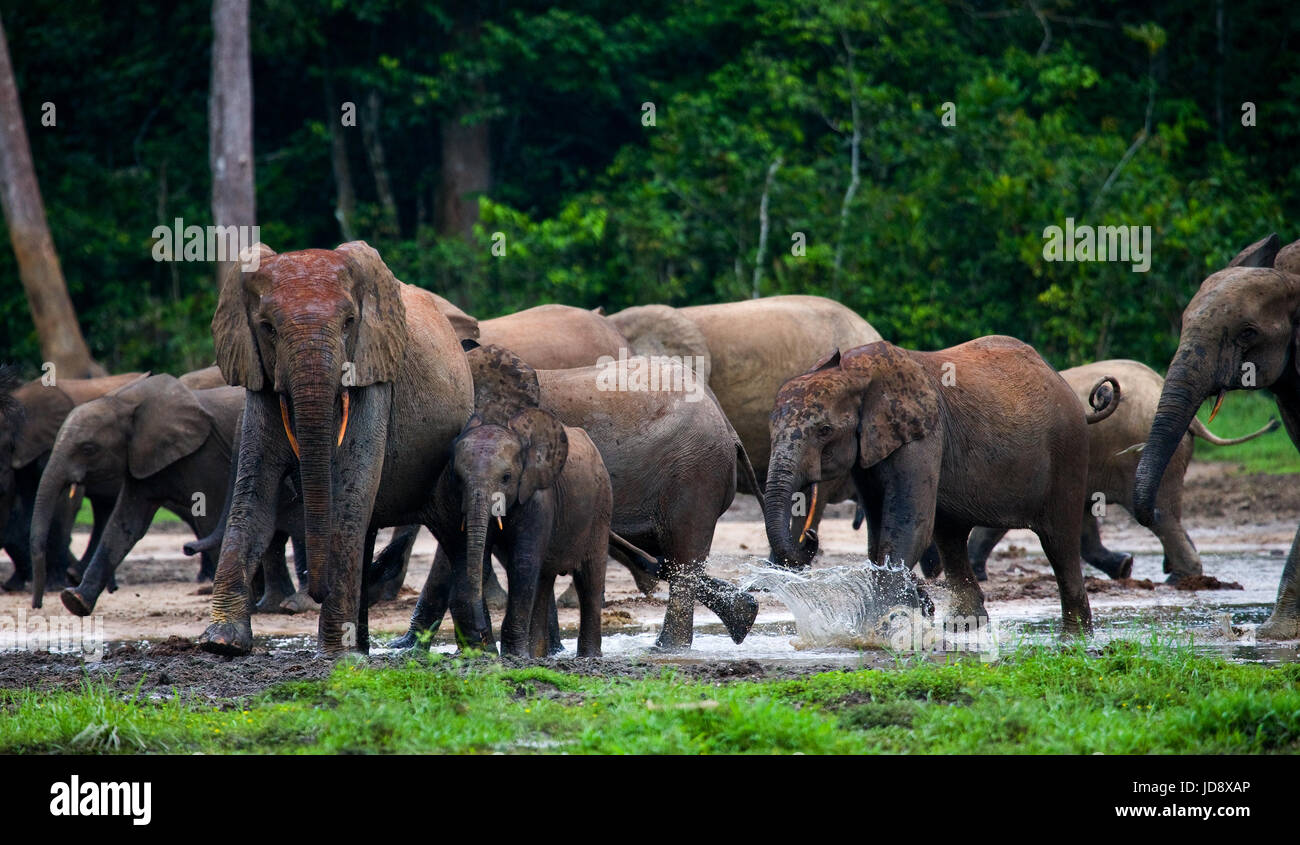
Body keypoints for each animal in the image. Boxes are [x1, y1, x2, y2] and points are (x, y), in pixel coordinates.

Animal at [199, 241, 474, 656]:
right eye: (268, 328)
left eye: (348, 323)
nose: (315, 589)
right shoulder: (260, 386)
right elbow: (253, 495)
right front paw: (221, 643)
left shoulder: (372, 376)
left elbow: (349, 491)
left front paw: (332, 652)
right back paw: (359, 646)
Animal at [428, 406, 611, 656]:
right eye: (457, 478)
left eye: (506, 478)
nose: (483, 631)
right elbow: (471, 557)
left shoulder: (538, 498)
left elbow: (522, 562)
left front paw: (514, 655)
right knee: (543, 581)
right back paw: (537, 655)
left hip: (601, 509)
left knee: (589, 577)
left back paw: (588, 657)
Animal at [764, 337, 1120, 635]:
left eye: (824, 430)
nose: (811, 538)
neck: (856, 370)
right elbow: (880, 533)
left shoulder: (923, 435)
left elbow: (908, 527)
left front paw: (876, 629)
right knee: (951, 537)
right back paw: (965, 627)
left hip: (1069, 451)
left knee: (1059, 543)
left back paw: (1074, 637)